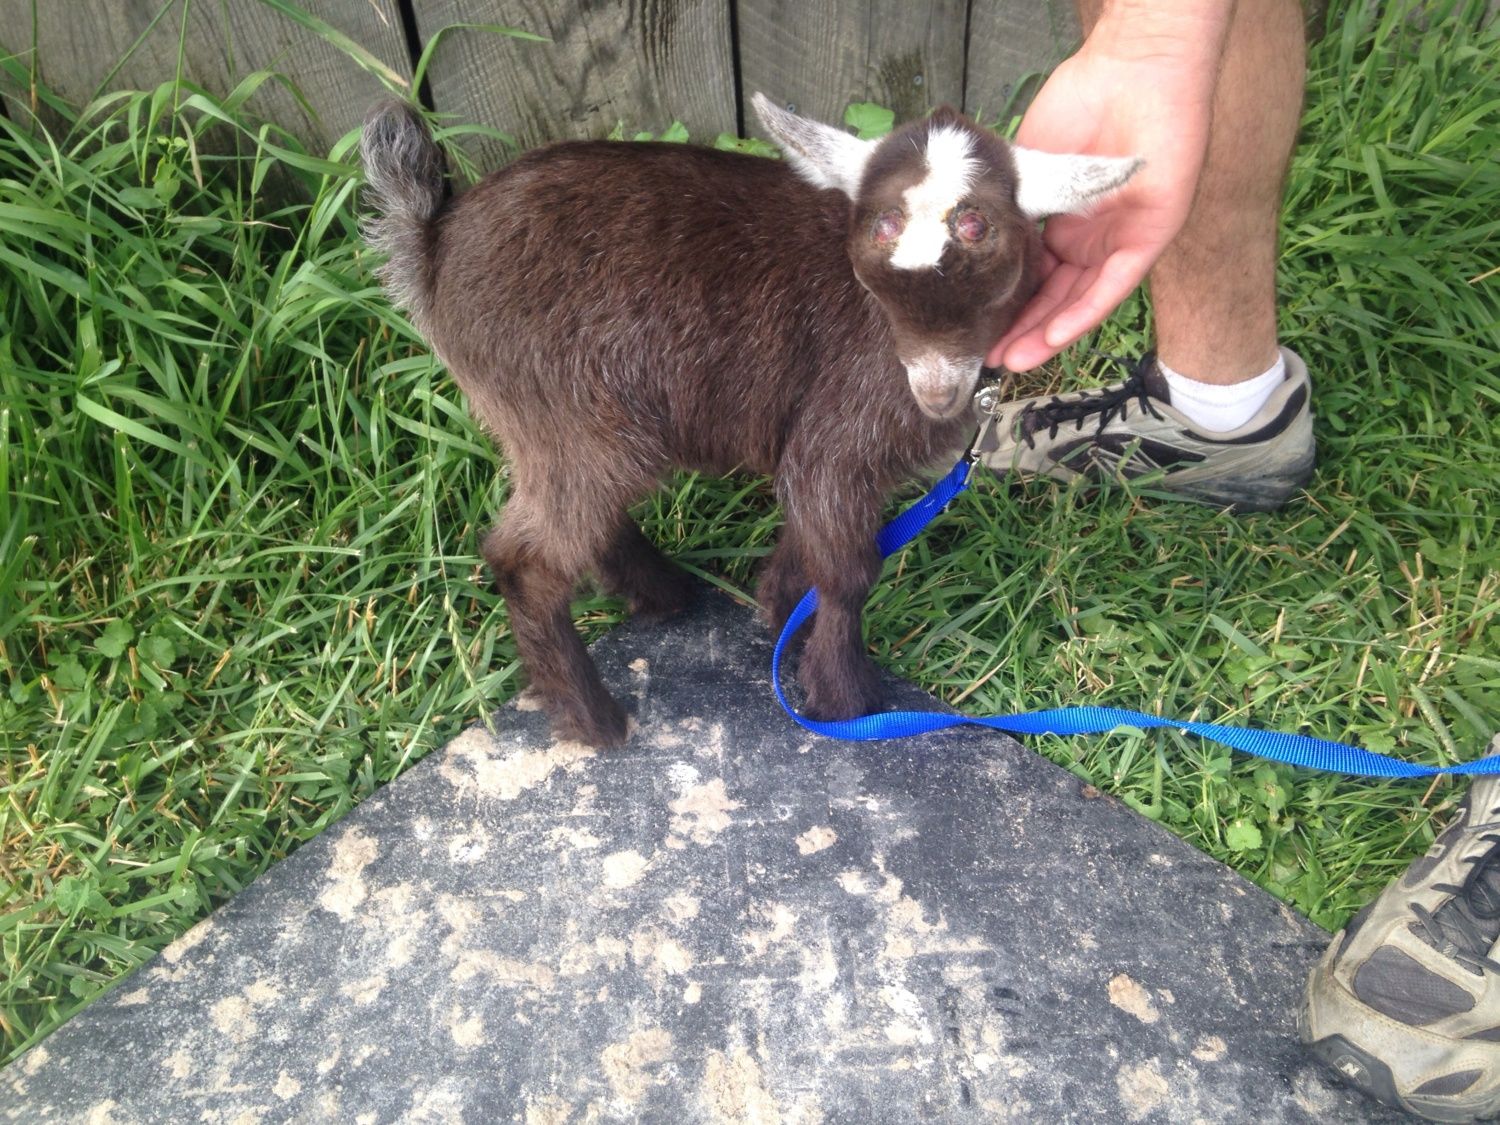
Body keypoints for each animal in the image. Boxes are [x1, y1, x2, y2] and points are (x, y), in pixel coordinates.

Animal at [360, 94, 1139, 748]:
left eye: (982, 231)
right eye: (875, 250)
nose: (938, 394)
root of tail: (432, 245)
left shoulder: (818, 443)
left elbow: (811, 533)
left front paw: (781, 608)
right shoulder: (841, 435)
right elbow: (850, 566)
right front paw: (842, 696)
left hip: (549, 426)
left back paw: (664, 593)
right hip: (573, 414)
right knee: (526, 556)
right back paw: (594, 719)